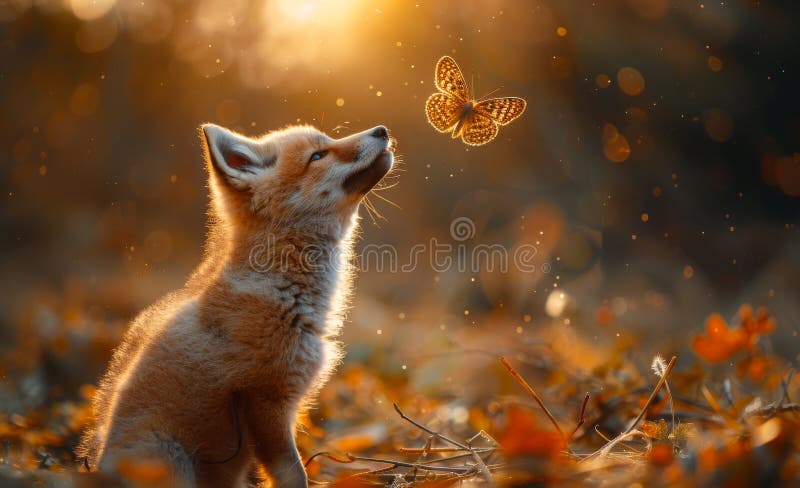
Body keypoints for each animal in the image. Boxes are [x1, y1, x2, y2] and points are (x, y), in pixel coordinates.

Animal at [76, 123, 395, 487]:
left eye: (327, 140)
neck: (287, 295)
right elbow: (294, 473)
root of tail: (96, 467)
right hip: (172, 458)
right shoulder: (264, 400)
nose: (381, 129)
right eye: (317, 156)